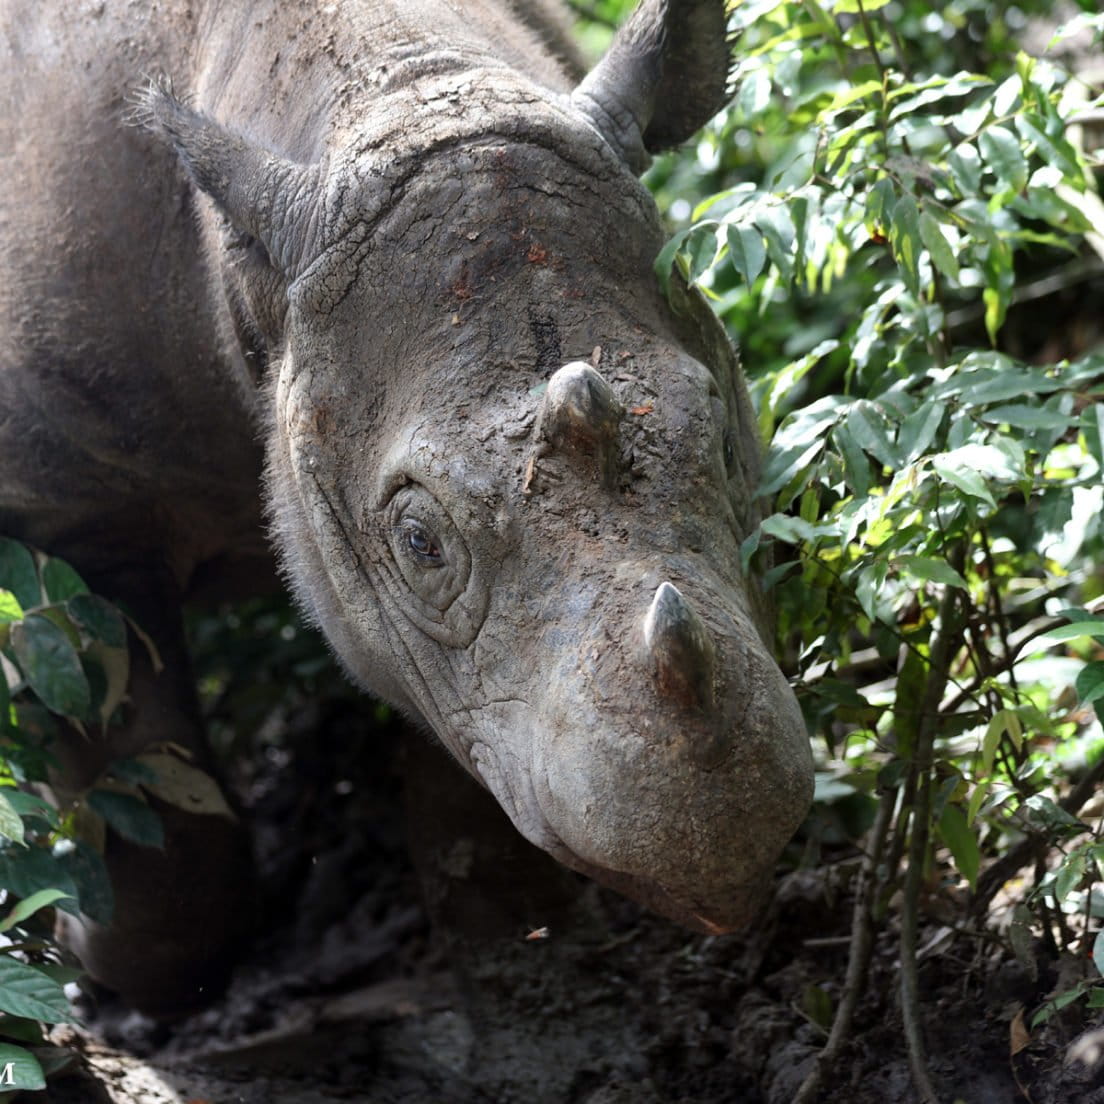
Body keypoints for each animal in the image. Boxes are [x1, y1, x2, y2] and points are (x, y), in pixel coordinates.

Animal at [0, 0, 813, 1014]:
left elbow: (460, 723)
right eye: (419, 542)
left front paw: (507, 928)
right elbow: (136, 775)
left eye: (729, 444)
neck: (402, 92)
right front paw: (83, 954)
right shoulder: (64, 502)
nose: (723, 836)